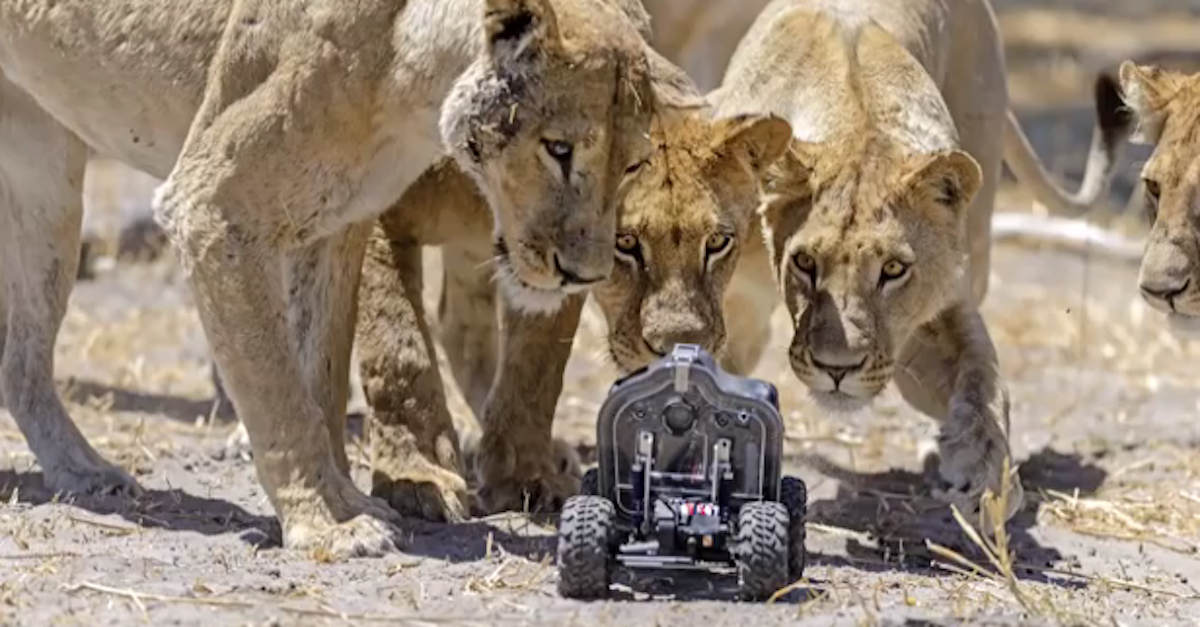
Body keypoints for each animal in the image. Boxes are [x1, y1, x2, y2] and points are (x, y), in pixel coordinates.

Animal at [0, 0, 674, 559]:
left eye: (633, 164)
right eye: (559, 149)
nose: (582, 275)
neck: (412, 80)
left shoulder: (333, 226)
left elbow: (318, 375)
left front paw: (344, 498)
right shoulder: (210, 207)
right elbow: (277, 391)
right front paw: (330, 525)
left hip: (46, 184)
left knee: (20, 364)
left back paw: (84, 473)